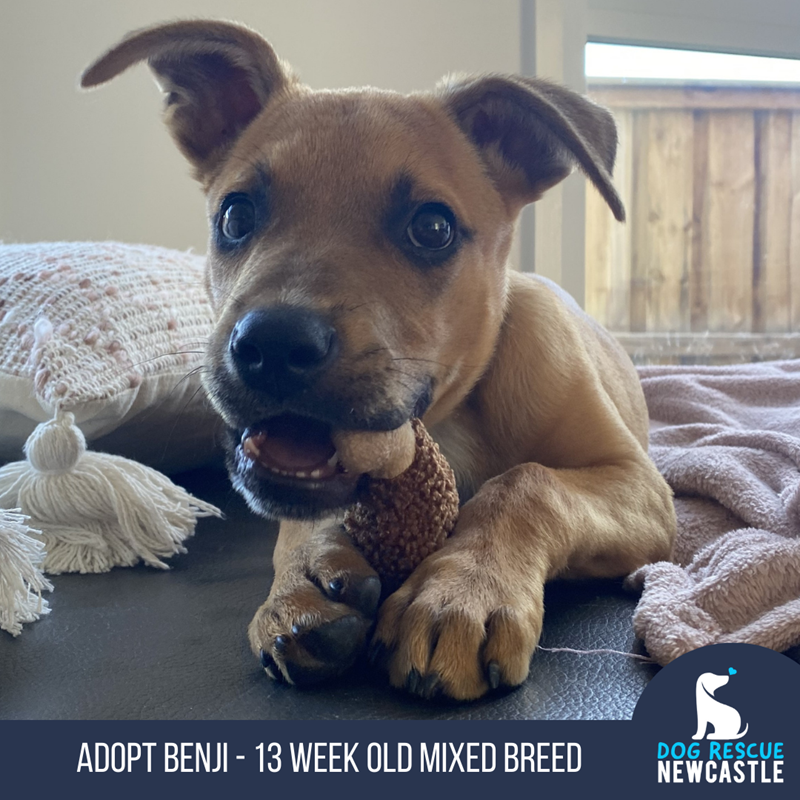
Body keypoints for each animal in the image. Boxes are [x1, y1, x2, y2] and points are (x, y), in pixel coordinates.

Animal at [82, 19, 676, 701]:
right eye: (235, 214)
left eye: (433, 228)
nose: (273, 346)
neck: (449, 423)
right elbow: (301, 513)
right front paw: (304, 575)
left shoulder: (638, 485)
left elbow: (528, 483)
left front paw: (460, 592)